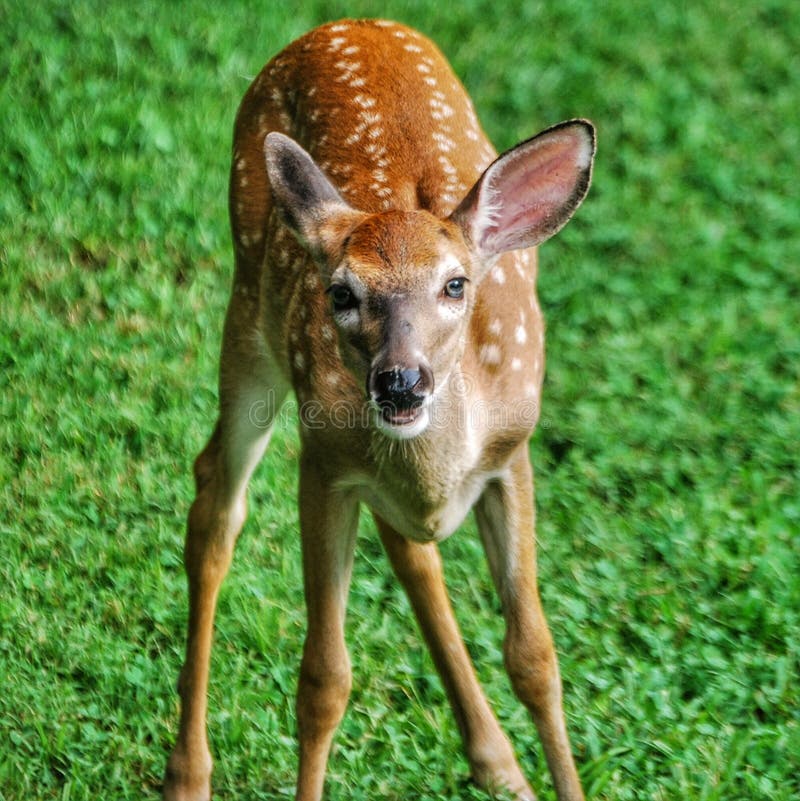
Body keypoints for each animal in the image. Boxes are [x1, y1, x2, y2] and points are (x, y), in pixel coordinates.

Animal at [163, 18, 595, 801]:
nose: (401, 382)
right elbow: (324, 681)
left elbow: (536, 658)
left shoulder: (512, 451)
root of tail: (345, 24)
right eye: (341, 292)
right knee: (215, 503)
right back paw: (187, 772)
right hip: (249, 312)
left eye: (456, 284)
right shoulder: (323, 460)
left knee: (409, 548)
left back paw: (500, 765)